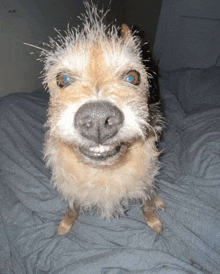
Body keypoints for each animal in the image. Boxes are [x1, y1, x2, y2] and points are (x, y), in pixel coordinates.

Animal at [39, 2, 165, 234]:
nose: (98, 119)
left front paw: (153, 220)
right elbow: (72, 205)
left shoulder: (145, 182)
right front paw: (66, 223)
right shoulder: (72, 187)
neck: (103, 171)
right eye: (64, 79)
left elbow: (147, 202)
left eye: (132, 77)